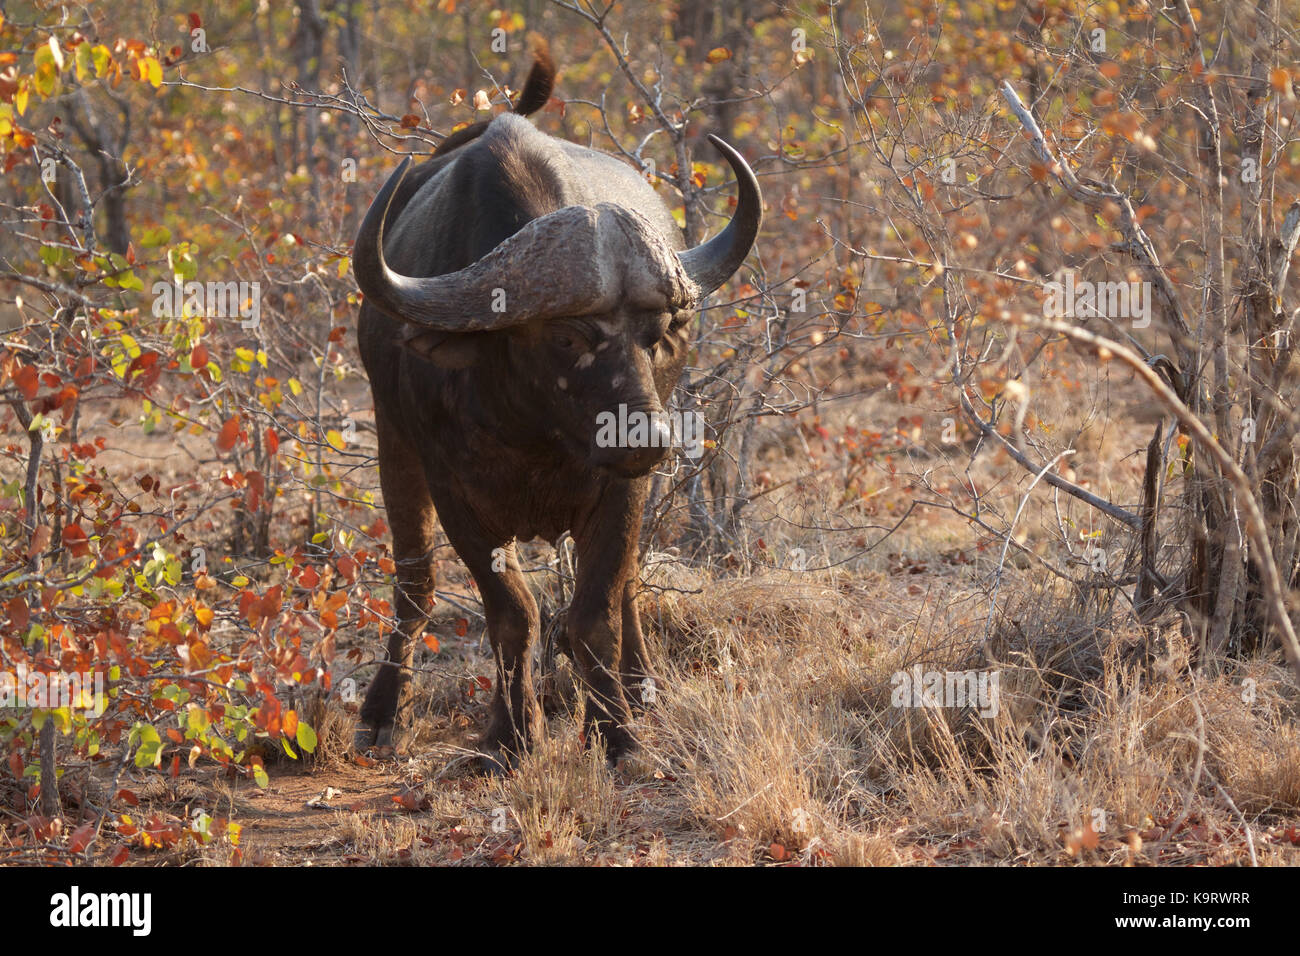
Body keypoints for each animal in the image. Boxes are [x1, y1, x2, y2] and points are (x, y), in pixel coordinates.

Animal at [351, 46, 761, 769]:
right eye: (568, 337)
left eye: (657, 334)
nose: (644, 438)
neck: (536, 432)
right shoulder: (454, 491)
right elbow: (511, 611)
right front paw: (512, 735)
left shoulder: (621, 490)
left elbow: (596, 607)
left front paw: (617, 734)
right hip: (393, 446)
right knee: (414, 583)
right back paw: (382, 712)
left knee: (627, 589)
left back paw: (642, 685)